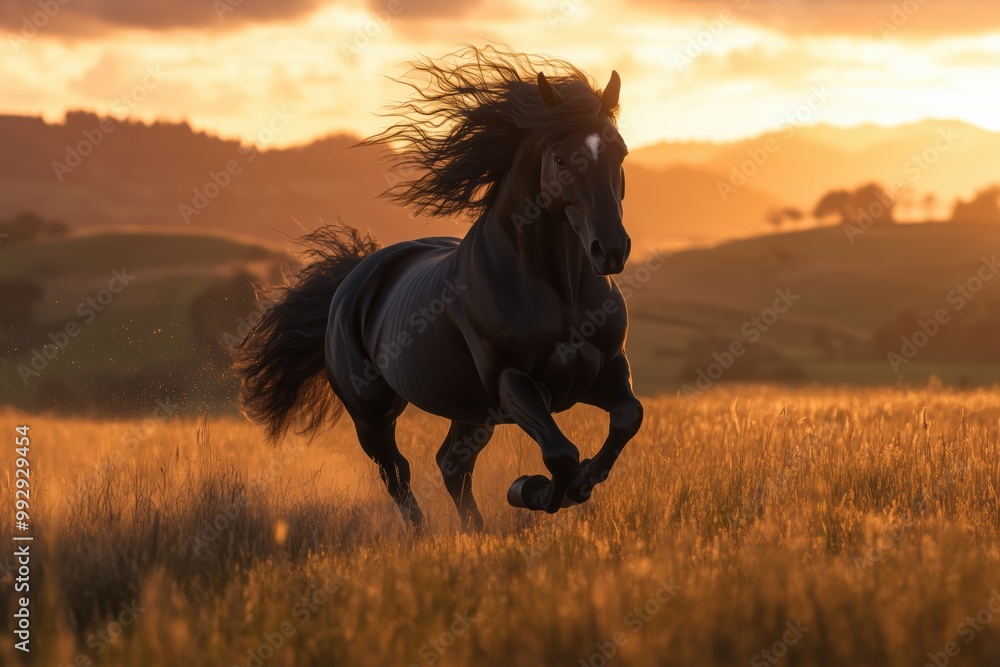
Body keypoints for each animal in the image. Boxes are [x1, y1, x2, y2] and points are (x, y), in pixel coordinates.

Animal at [235, 46, 642, 530]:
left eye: (620, 151)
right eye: (560, 160)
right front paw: (529, 490)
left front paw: (572, 487)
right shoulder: (513, 383)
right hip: (374, 412)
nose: (610, 250)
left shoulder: (605, 369)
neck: (562, 294)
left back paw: (476, 532)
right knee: (396, 470)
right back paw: (423, 533)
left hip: (471, 412)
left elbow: (627, 419)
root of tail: (352, 280)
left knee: (451, 465)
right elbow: (561, 454)